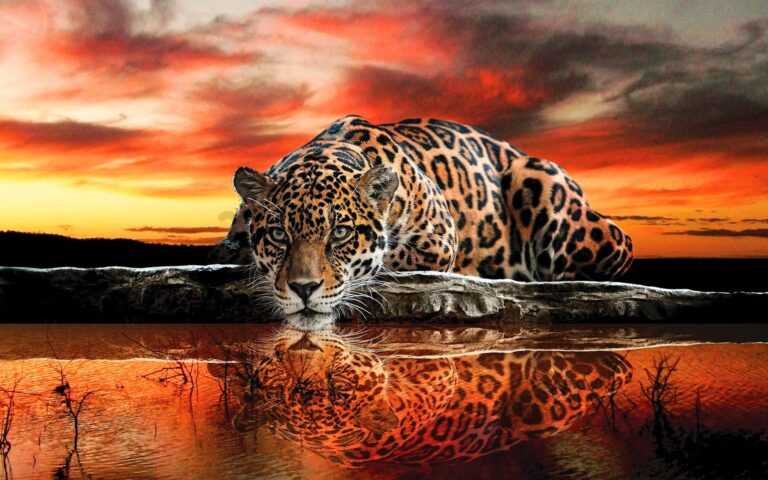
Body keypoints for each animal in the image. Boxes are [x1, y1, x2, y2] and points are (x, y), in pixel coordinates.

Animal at [211, 115, 634, 329]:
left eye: (341, 233)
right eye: (279, 234)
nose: (303, 289)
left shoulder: (438, 240)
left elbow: (386, 260)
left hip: (542, 184)